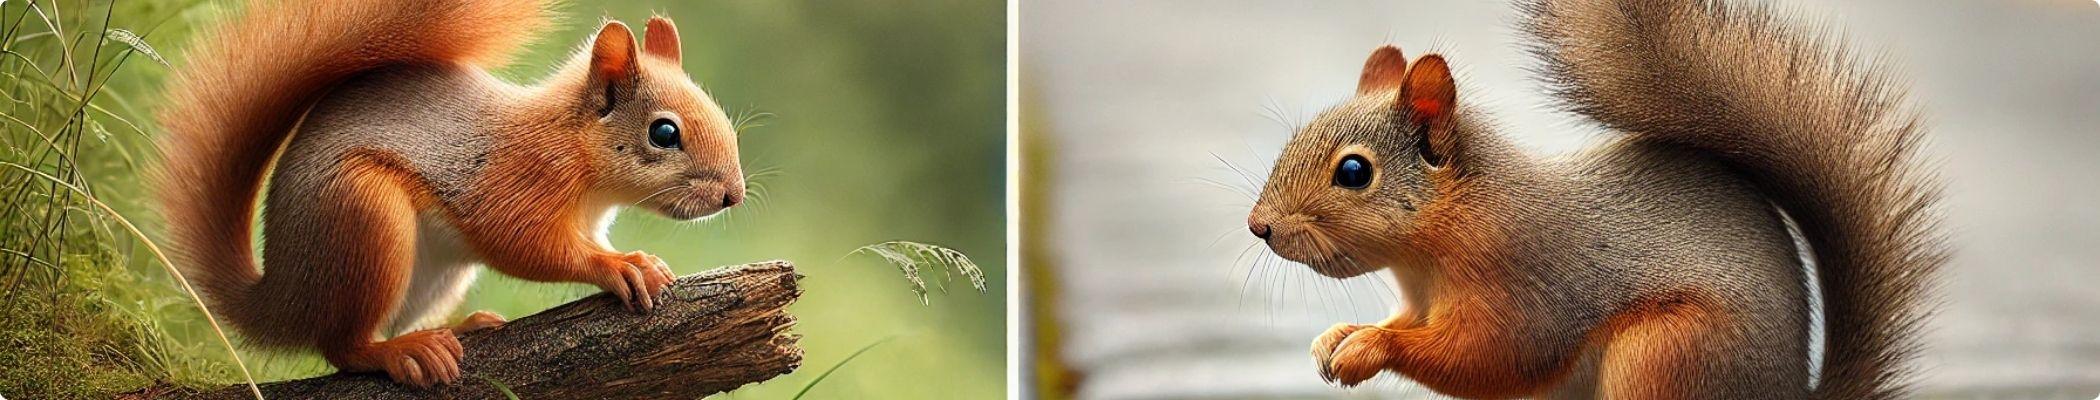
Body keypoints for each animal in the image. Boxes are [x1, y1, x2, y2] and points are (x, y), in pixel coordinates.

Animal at [154, 0, 744, 387]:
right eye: (663, 133)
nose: (733, 196)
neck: (577, 154)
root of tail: (282, 297)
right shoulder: (515, 183)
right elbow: (527, 245)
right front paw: (622, 265)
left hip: (434, 274)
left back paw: (464, 326)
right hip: (364, 216)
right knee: (342, 346)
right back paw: (401, 353)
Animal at [1244, 0, 1943, 398]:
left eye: (1354, 171)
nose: (1259, 227)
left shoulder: (1526, 283)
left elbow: (1490, 358)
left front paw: (1368, 349)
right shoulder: (1421, 302)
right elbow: (1408, 326)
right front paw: (1338, 336)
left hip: (1667, 354)